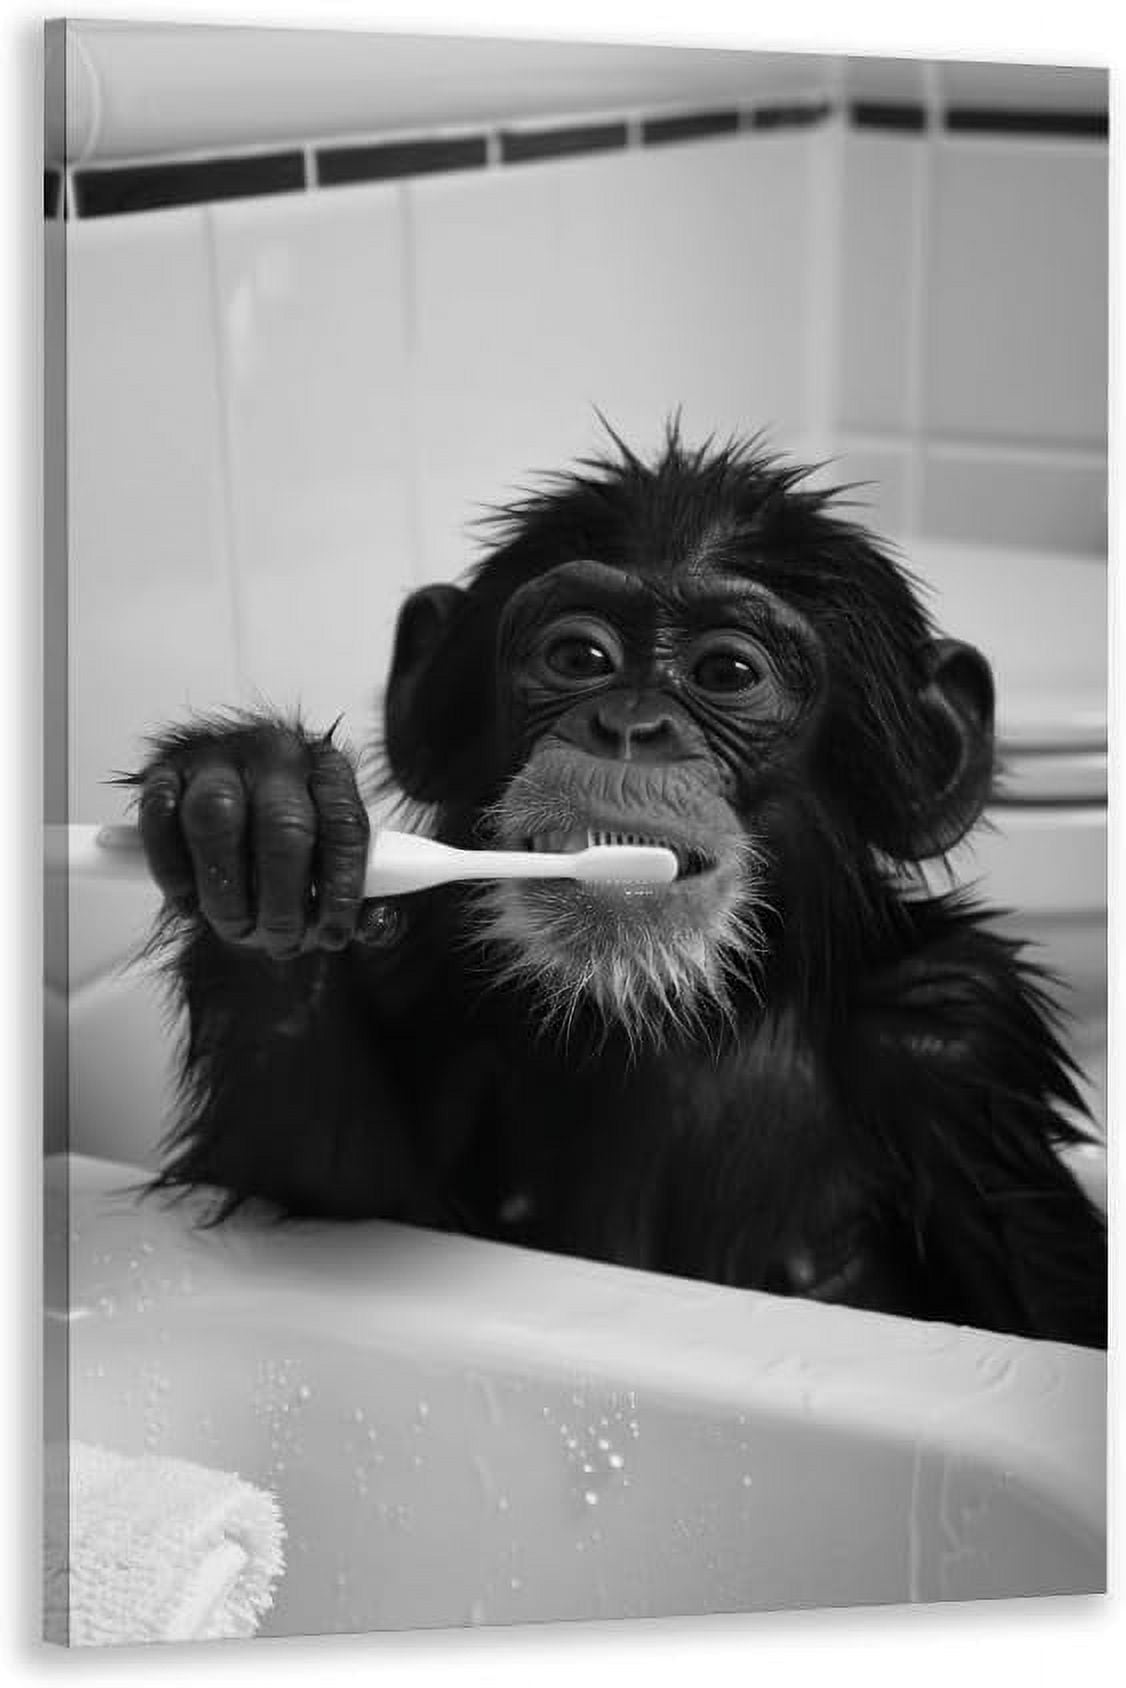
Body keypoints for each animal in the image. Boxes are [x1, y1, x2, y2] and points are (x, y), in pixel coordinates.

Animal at [133, 428, 1107, 1347]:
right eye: (579, 656)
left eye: (728, 674)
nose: (631, 726)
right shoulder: (428, 985)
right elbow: (343, 1190)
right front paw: (260, 814)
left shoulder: (959, 1044)